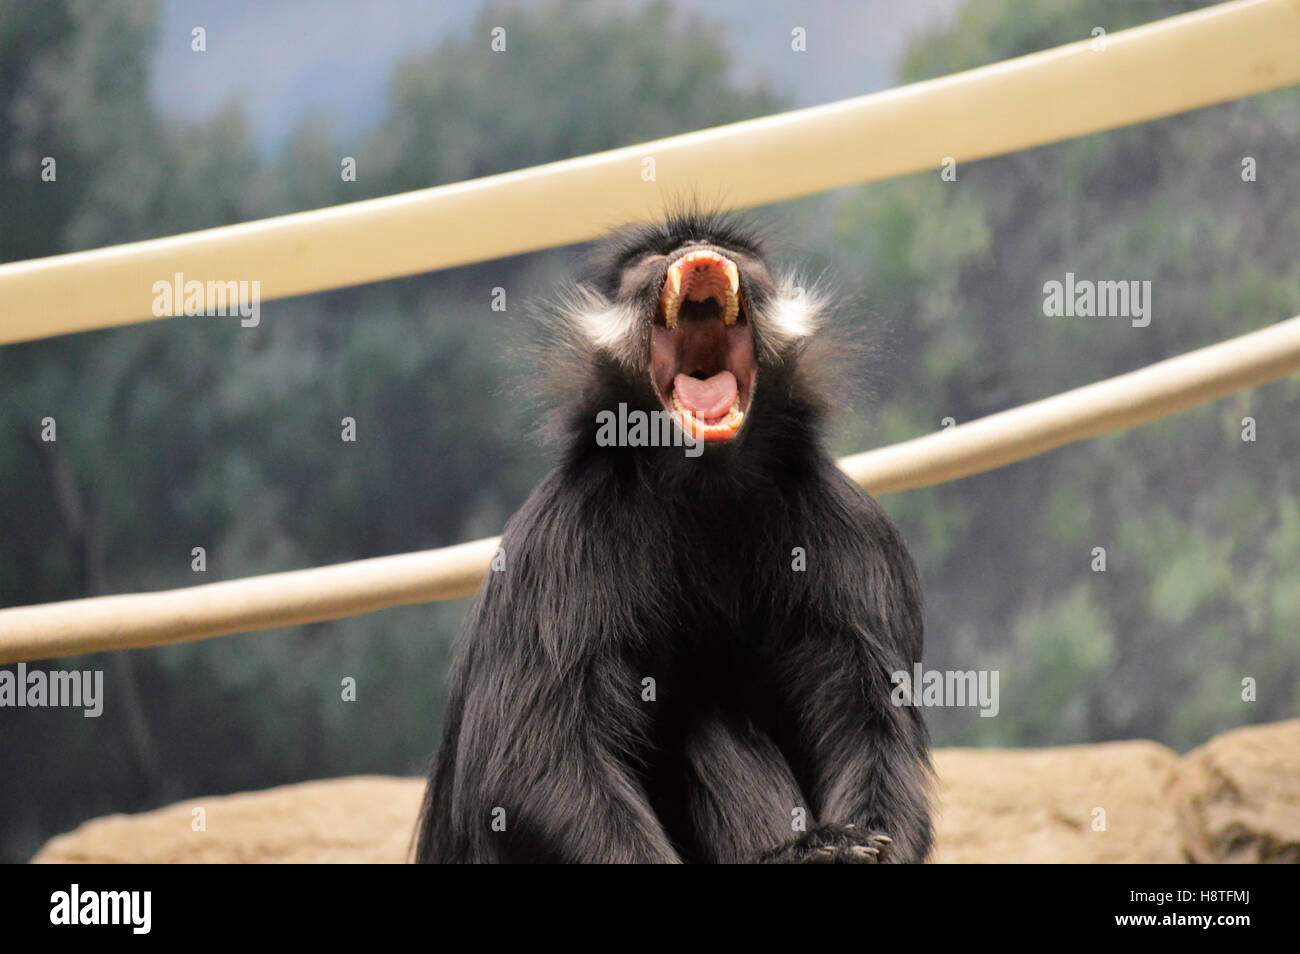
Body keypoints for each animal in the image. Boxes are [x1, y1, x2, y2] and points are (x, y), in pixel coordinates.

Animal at [415, 209, 931, 864]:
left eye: (733, 248)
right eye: (654, 255)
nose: (696, 246)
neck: (703, 484)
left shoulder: (850, 531)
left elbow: (871, 723)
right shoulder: (559, 541)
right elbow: (529, 762)